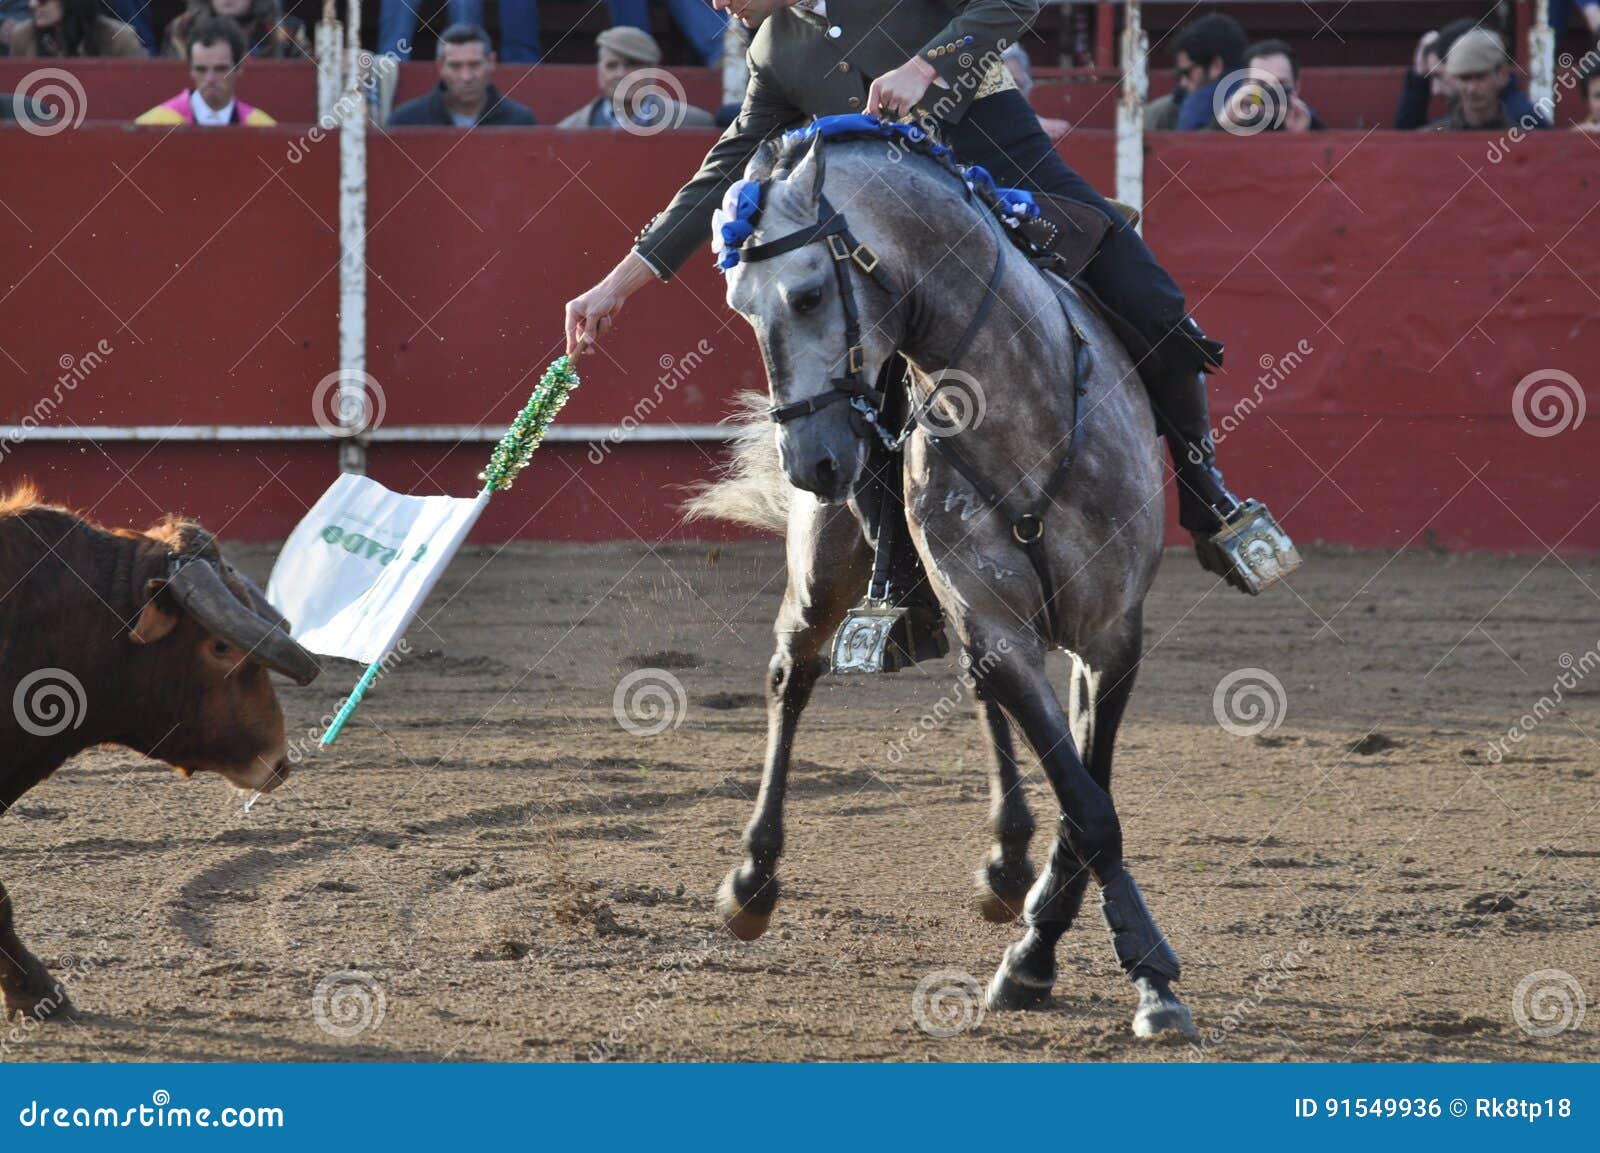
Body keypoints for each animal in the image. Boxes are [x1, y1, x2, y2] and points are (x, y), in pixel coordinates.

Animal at [685, 120, 1195, 1040]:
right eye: (742, 307)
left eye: (807, 295)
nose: (811, 461)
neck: (1021, 406)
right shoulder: (994, 617)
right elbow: (1089, 809)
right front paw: (1099, 963)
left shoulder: (1111, 633)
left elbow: (1087, 790)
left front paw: (1061, 945)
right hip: (825, 573)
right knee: (790, 674)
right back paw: (753, 880)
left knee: (976, 692)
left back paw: (1007, 857)